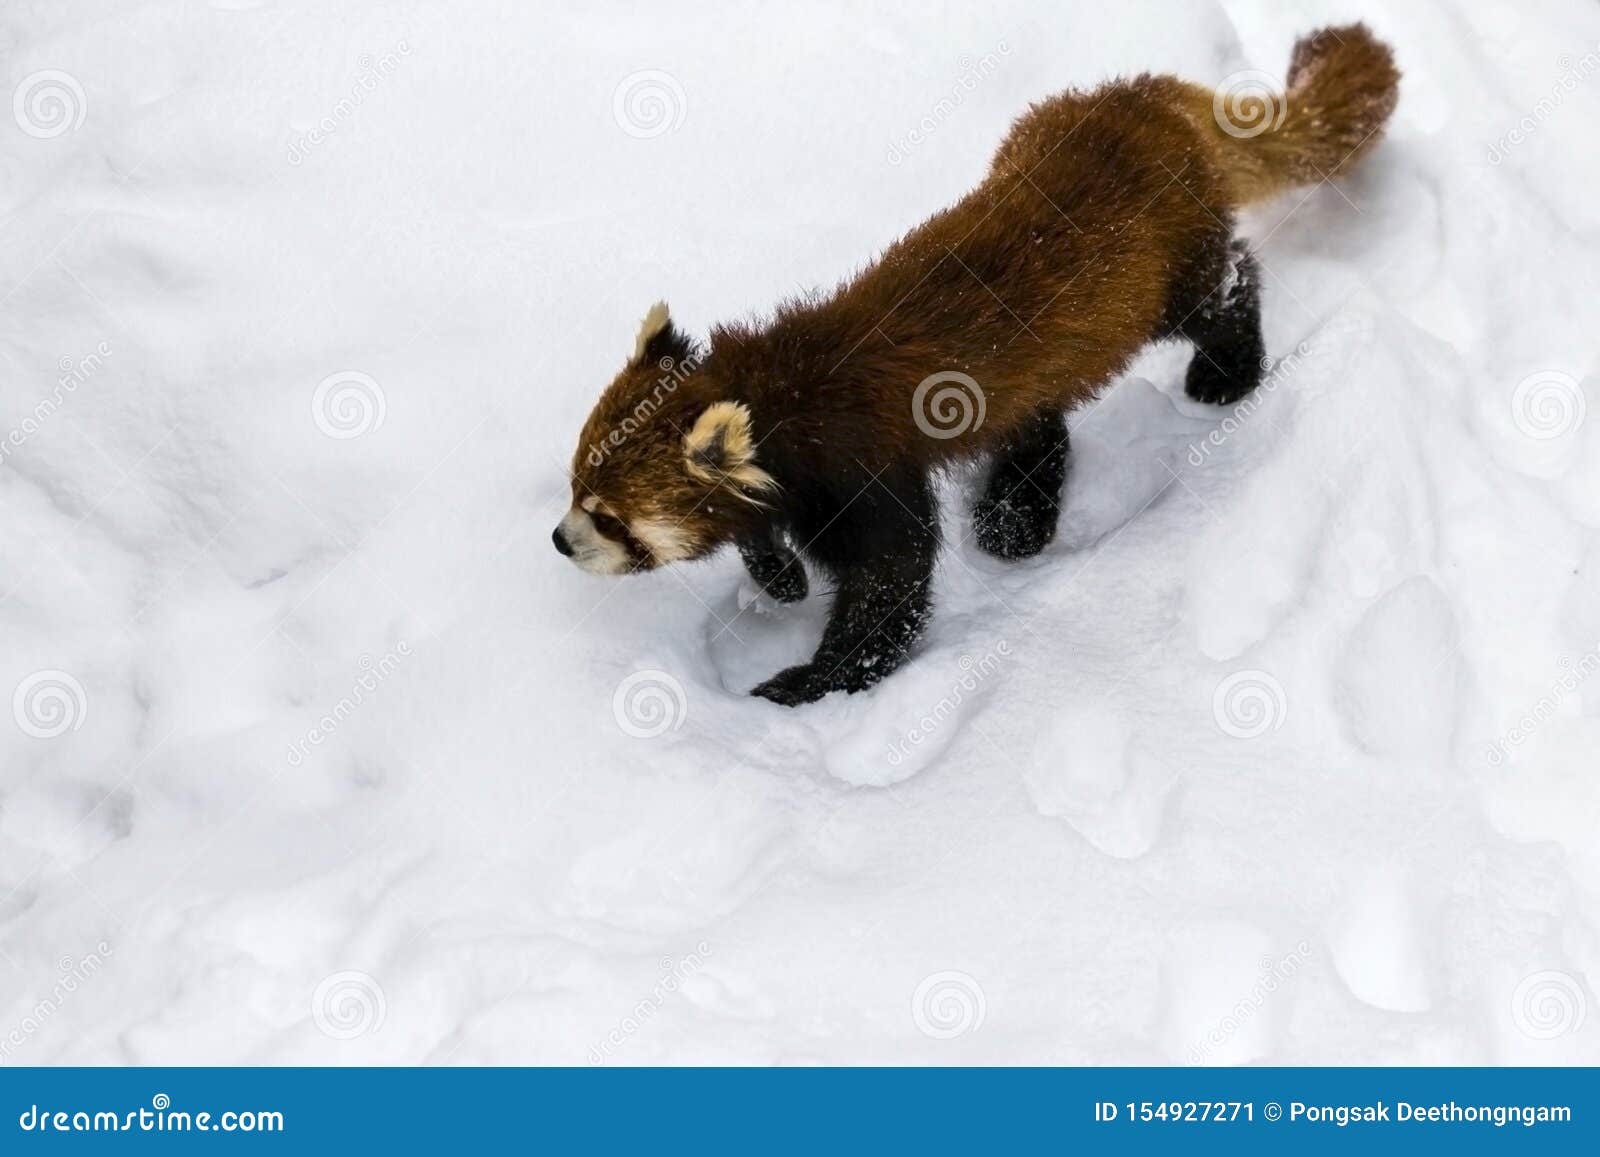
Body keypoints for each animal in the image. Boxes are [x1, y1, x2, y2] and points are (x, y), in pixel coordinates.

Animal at [555, 24, 1398, 705]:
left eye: (611, 516)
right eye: (573, 485)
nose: (561, 541)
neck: (786, 390)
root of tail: (1145, 96)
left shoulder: (865, 470)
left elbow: (891, 582)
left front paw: (810, 682)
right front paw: (778, 574)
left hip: (1173, 270)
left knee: (1225, 290)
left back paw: (1226, 371)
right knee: (1038, 415)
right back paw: (1016, 514)